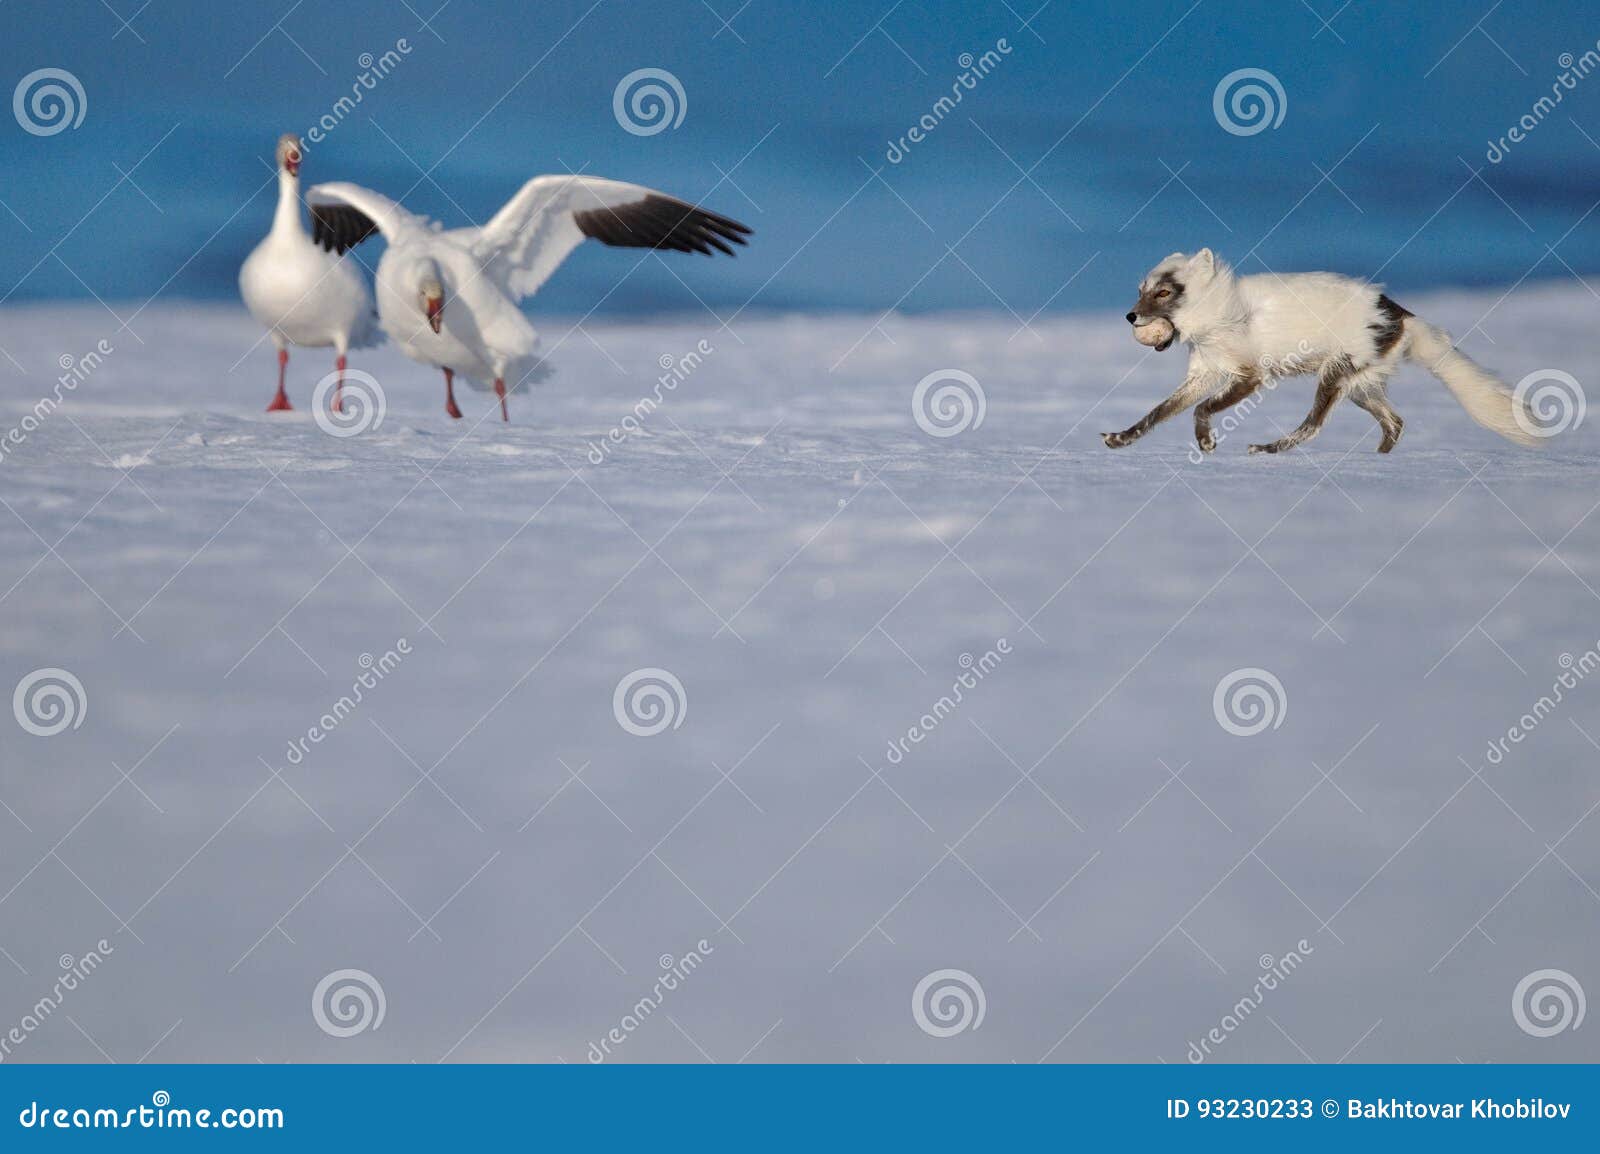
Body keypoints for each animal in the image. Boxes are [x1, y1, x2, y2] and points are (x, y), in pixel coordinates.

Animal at [1101, 248, 1541, 455]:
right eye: (1141, 290)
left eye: (1163, 293)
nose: (1130, 316)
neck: (1223, 313)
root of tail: (1400, 313)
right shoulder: (1204, 374)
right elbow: (1157, 413)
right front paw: (1121, 439)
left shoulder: (1250, 376)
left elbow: (1200, 411)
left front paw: (1206, 443)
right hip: (1360, 388)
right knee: (1395, 423)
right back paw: (1378, 463)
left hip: (1334, 376)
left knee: (1313, 426)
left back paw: (1268, 449)